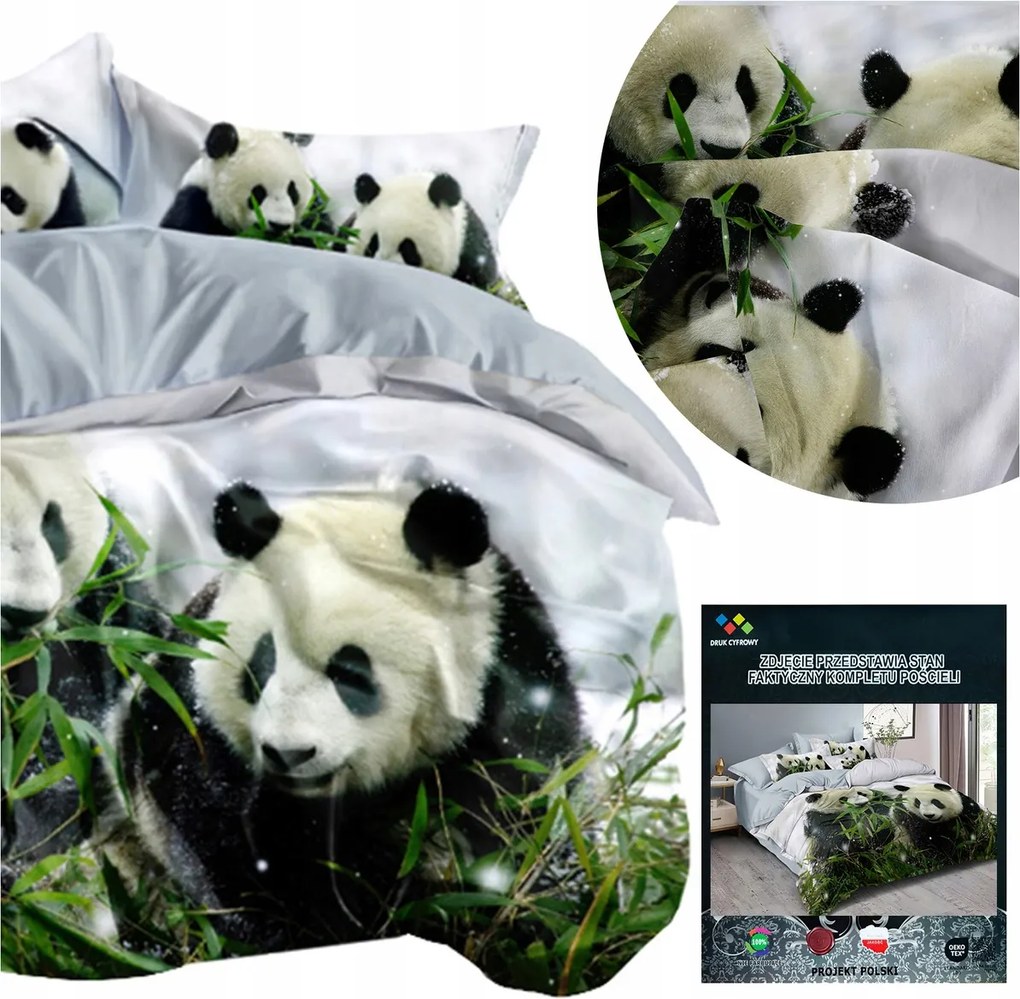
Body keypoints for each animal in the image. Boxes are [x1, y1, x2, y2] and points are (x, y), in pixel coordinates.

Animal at [93, 480, 584, 951]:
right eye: (263, 663)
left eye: (350, 672)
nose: (289, 754)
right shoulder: (194, 728)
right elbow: (229, 849)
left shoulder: (514, 677)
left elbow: (509, 806)